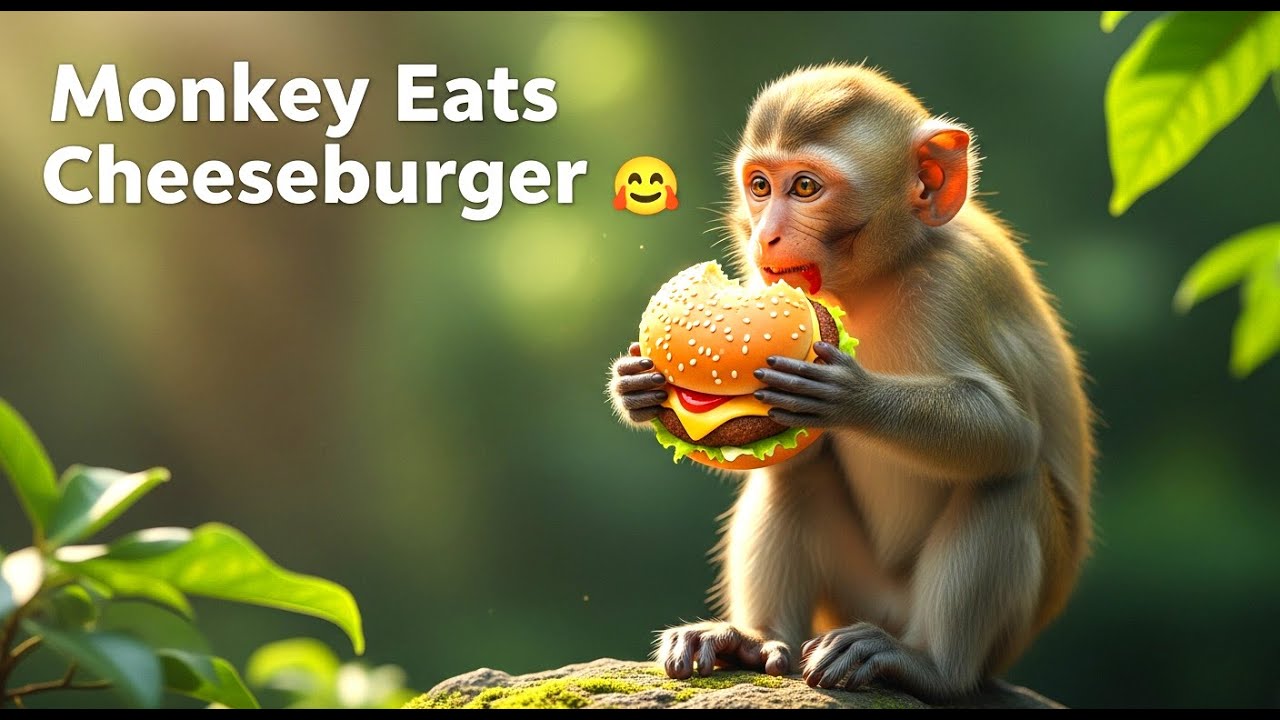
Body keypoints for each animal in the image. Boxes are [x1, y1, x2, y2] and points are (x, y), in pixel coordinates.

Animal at [608, 62, 1094, 701]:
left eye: (805, 188)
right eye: (759, 186)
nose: (765, 236)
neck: (877, 276)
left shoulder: (955, 286)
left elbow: (1007, 432)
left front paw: (849, 395)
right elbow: (778, 452)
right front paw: (634, 386)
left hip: (988, 633)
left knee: (1008, 478)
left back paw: (926, 664)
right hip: (848, 591)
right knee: (794, 478)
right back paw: (753, 639)